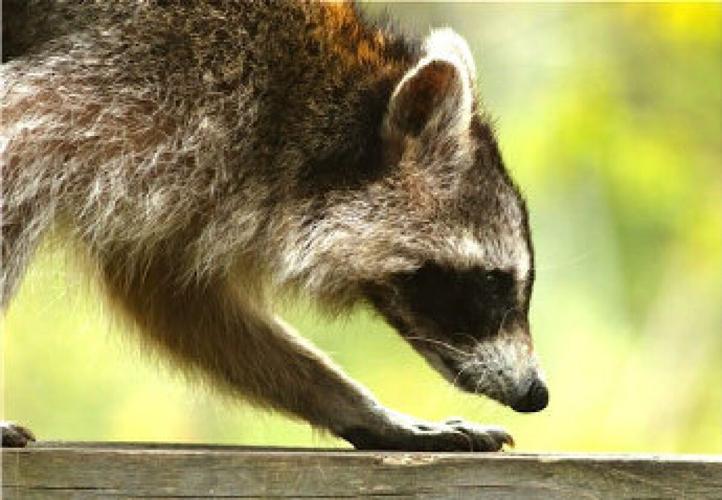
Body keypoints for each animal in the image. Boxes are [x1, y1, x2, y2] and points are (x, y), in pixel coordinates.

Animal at [1, 0, 548, 450]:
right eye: (492, 282)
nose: (536, 394)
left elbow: (170, 295)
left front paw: (354, 405)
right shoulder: (138, 80)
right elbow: (19, 142)